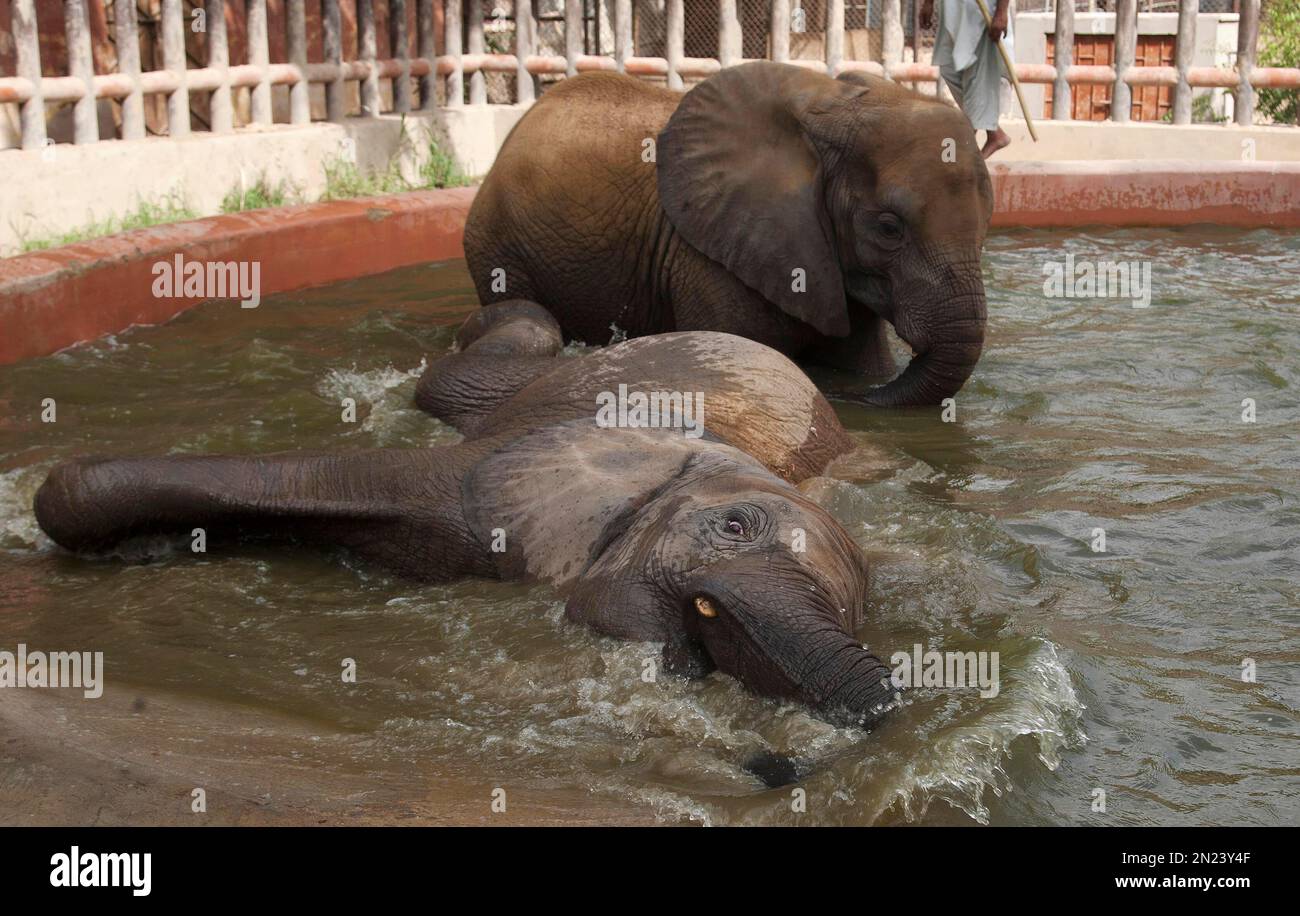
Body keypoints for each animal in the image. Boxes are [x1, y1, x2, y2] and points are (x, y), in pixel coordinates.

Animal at [464, 61, 994, 408]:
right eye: (888, 229)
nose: (850, 401)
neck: (832, 109)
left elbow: (866, 363)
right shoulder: (710, 256)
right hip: (500, 248)